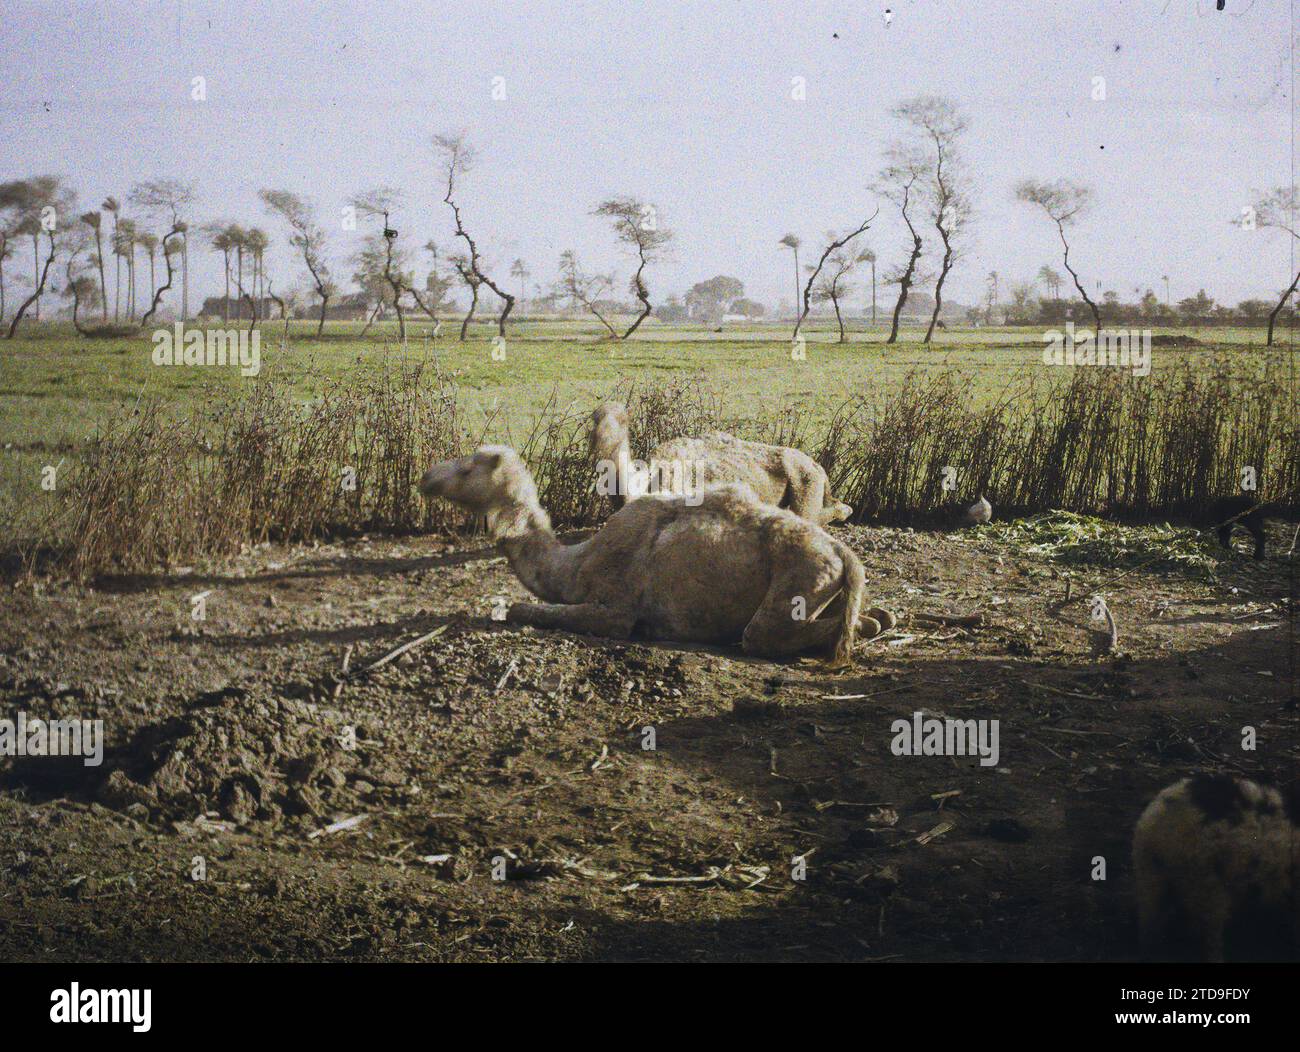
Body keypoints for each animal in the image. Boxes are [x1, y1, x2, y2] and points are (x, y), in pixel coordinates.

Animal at [419, 445, 894, 663]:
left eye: (467, 468)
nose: (427, 478)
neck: (574, 564)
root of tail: (843, 555)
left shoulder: (614, 609)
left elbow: (520, 608)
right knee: (875, 617)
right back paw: (878, 617)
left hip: (800, 576)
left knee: (762, 635)